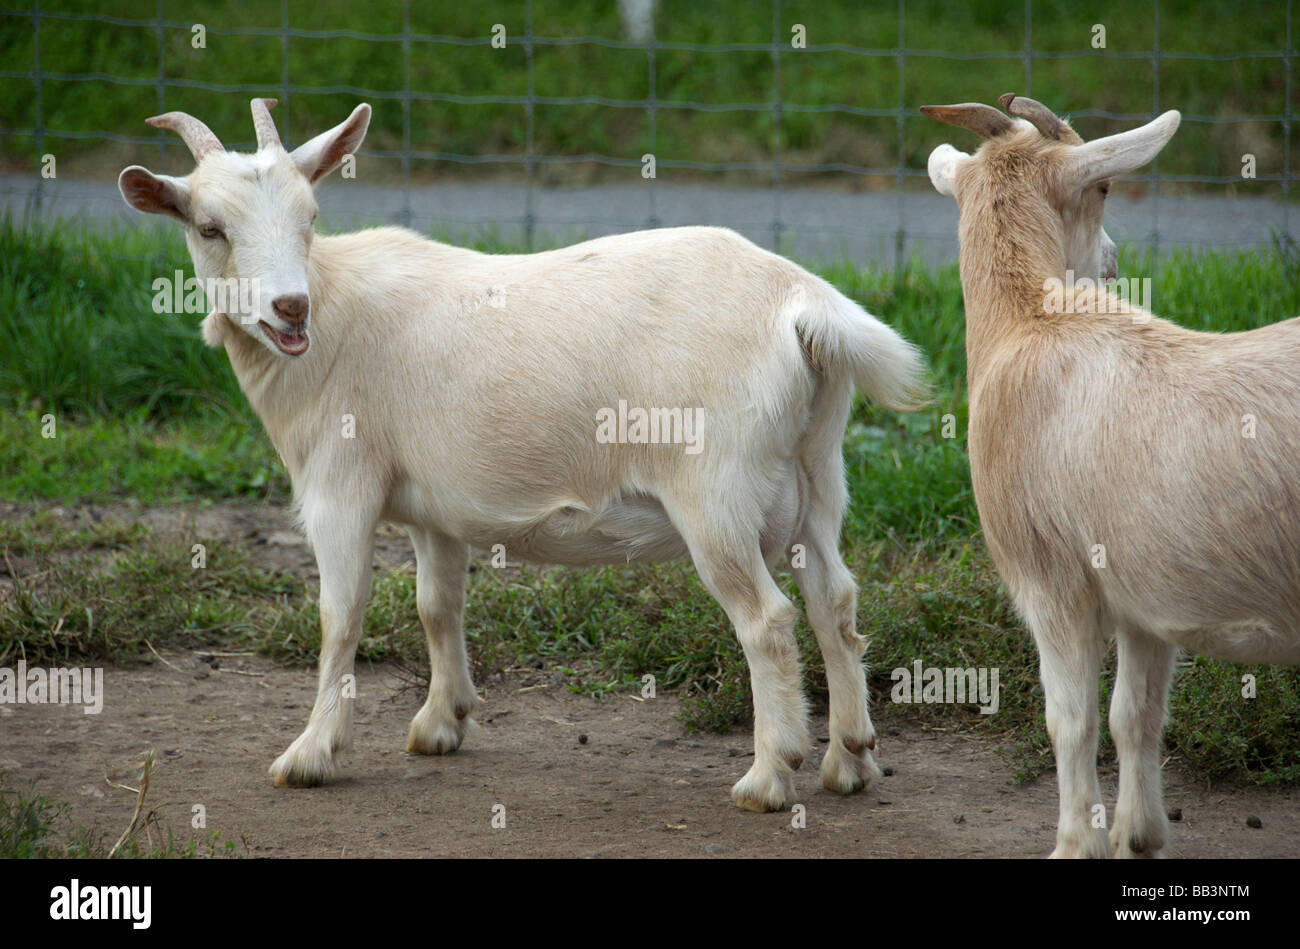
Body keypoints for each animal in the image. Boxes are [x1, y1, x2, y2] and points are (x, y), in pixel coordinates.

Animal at [118, 99, 927, 812]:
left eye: (310, 218)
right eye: (210, 227)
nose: (289, 309)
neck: (335, 313)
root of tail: (803, 306)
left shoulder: (338, 488)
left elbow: (339, 615)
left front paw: (310, 754)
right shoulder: (433, 508)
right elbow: (437, 604)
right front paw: (442, 722)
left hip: (717, 495)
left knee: (767, 620)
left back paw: (768, 777)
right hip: (816, 476)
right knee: (834, 598)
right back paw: (849, 759)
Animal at [922, 94, 1300, 857]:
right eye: (1100, 190)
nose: (1114, 260)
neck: (1030, 322)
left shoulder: (1050, 577)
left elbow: (1070, 720)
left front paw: (1076, 842)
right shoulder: (1145, 595)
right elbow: (1135, 714)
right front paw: (1138, 833)